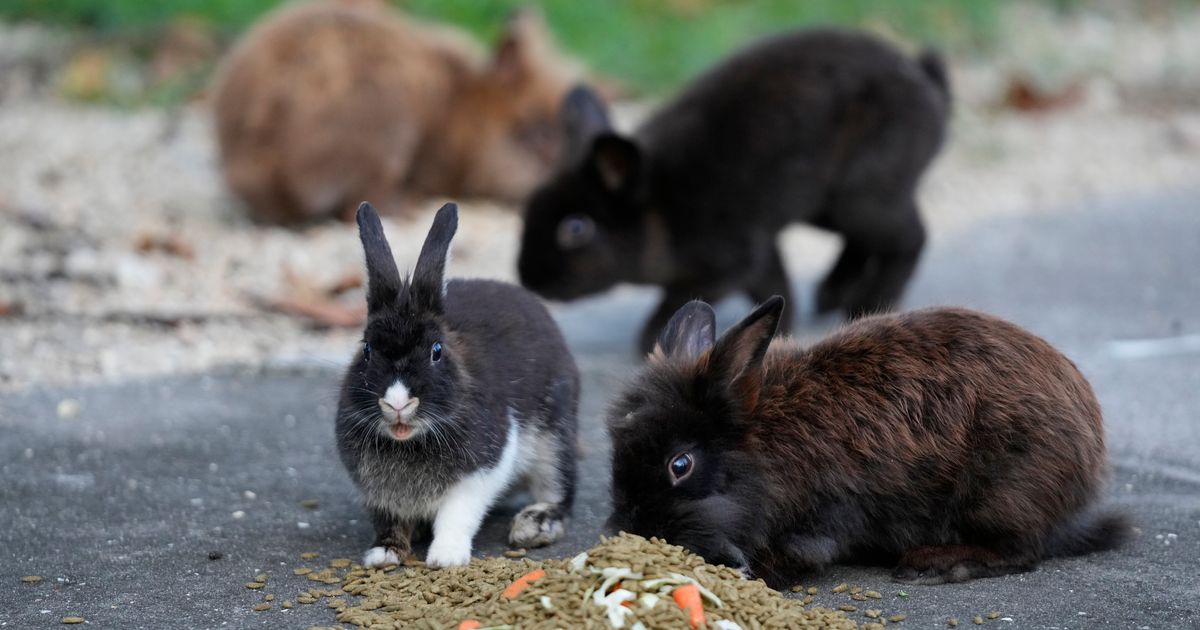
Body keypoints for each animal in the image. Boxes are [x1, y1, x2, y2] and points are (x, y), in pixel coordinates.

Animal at [336, 201, 579, 568]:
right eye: (366, 350)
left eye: (436, 351)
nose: (397, 402)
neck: (411, 440)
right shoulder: (378, 493)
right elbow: (389, 520)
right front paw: (384, 554)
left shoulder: (483, 470)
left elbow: (457, 513)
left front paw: (445, 557)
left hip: (554, 437)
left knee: (560, 489)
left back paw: (533, 525)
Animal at [518, 29, 950, 353]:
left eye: (576, 228)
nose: (528, 278)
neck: (659, 205)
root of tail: (926, 88)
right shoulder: (759, 249)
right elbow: (774, 284)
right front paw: (784, 329)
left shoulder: (728, 261)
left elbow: (681, 300)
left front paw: (650, 342)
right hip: (830, 210)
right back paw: (832, 295)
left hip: (861, 198)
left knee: (910, 238)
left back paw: (868, 304)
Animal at [606, 297, 1131, 587]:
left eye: (680, 465)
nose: (629, 529)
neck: (765, 442)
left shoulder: (823, 520)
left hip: (1003, 490)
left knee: (1021, 550)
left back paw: (934, 566)